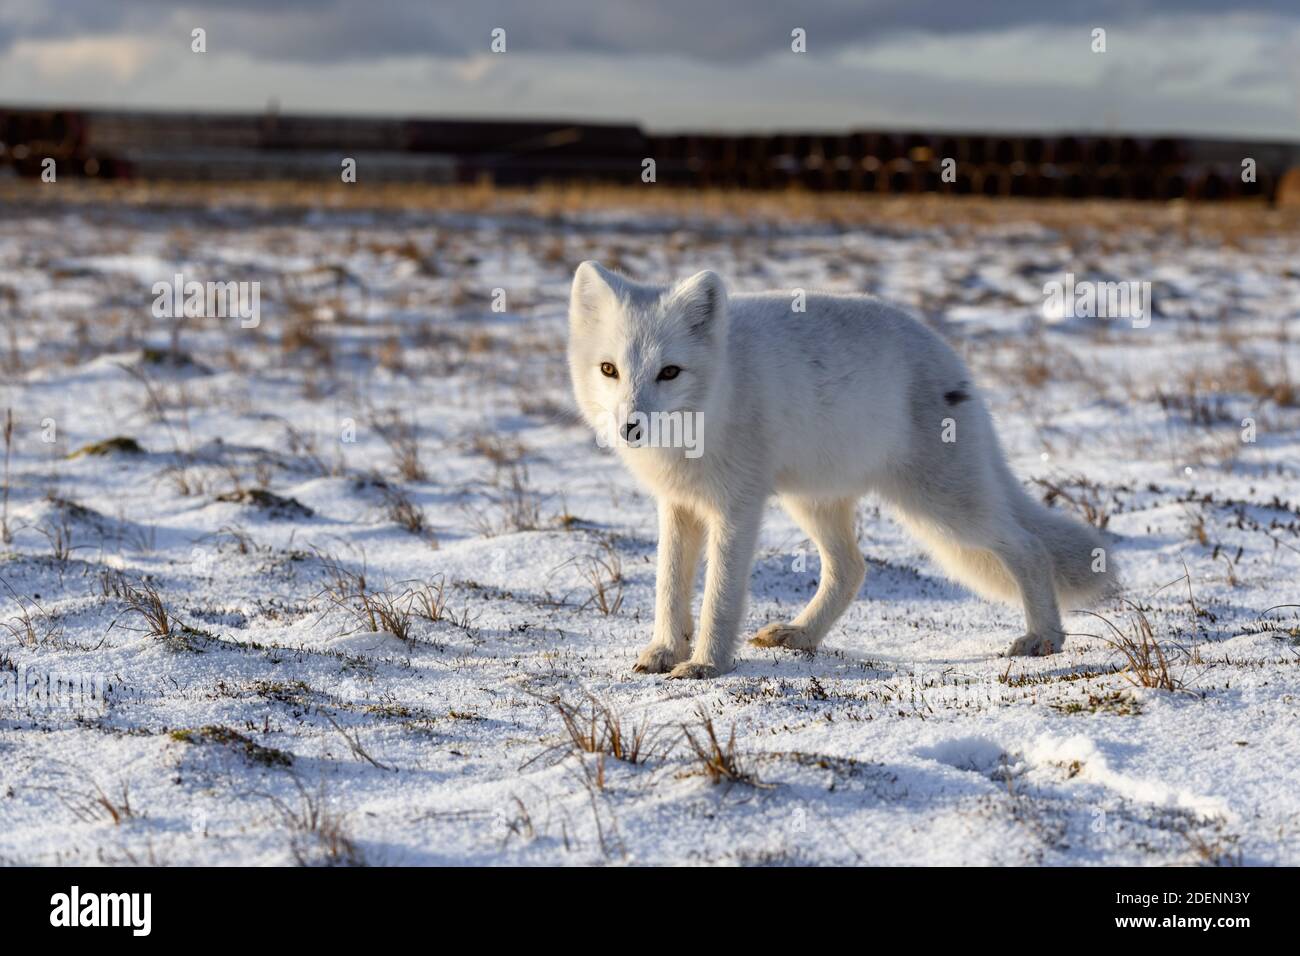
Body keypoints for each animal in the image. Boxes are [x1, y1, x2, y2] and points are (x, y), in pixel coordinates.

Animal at [567, 260, 1115, 679]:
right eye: (610, 370)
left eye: (670, 372)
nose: (630, 427)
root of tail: (950, 356)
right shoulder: (678, 505)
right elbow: (668, 585)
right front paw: (664, 652)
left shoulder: (736, 506)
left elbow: (720, 595)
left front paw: (706, 665)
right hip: (815, 500)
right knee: (852, 568)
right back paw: (802, 634)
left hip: (943, 506)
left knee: (1029, 546)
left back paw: (1044, 637)